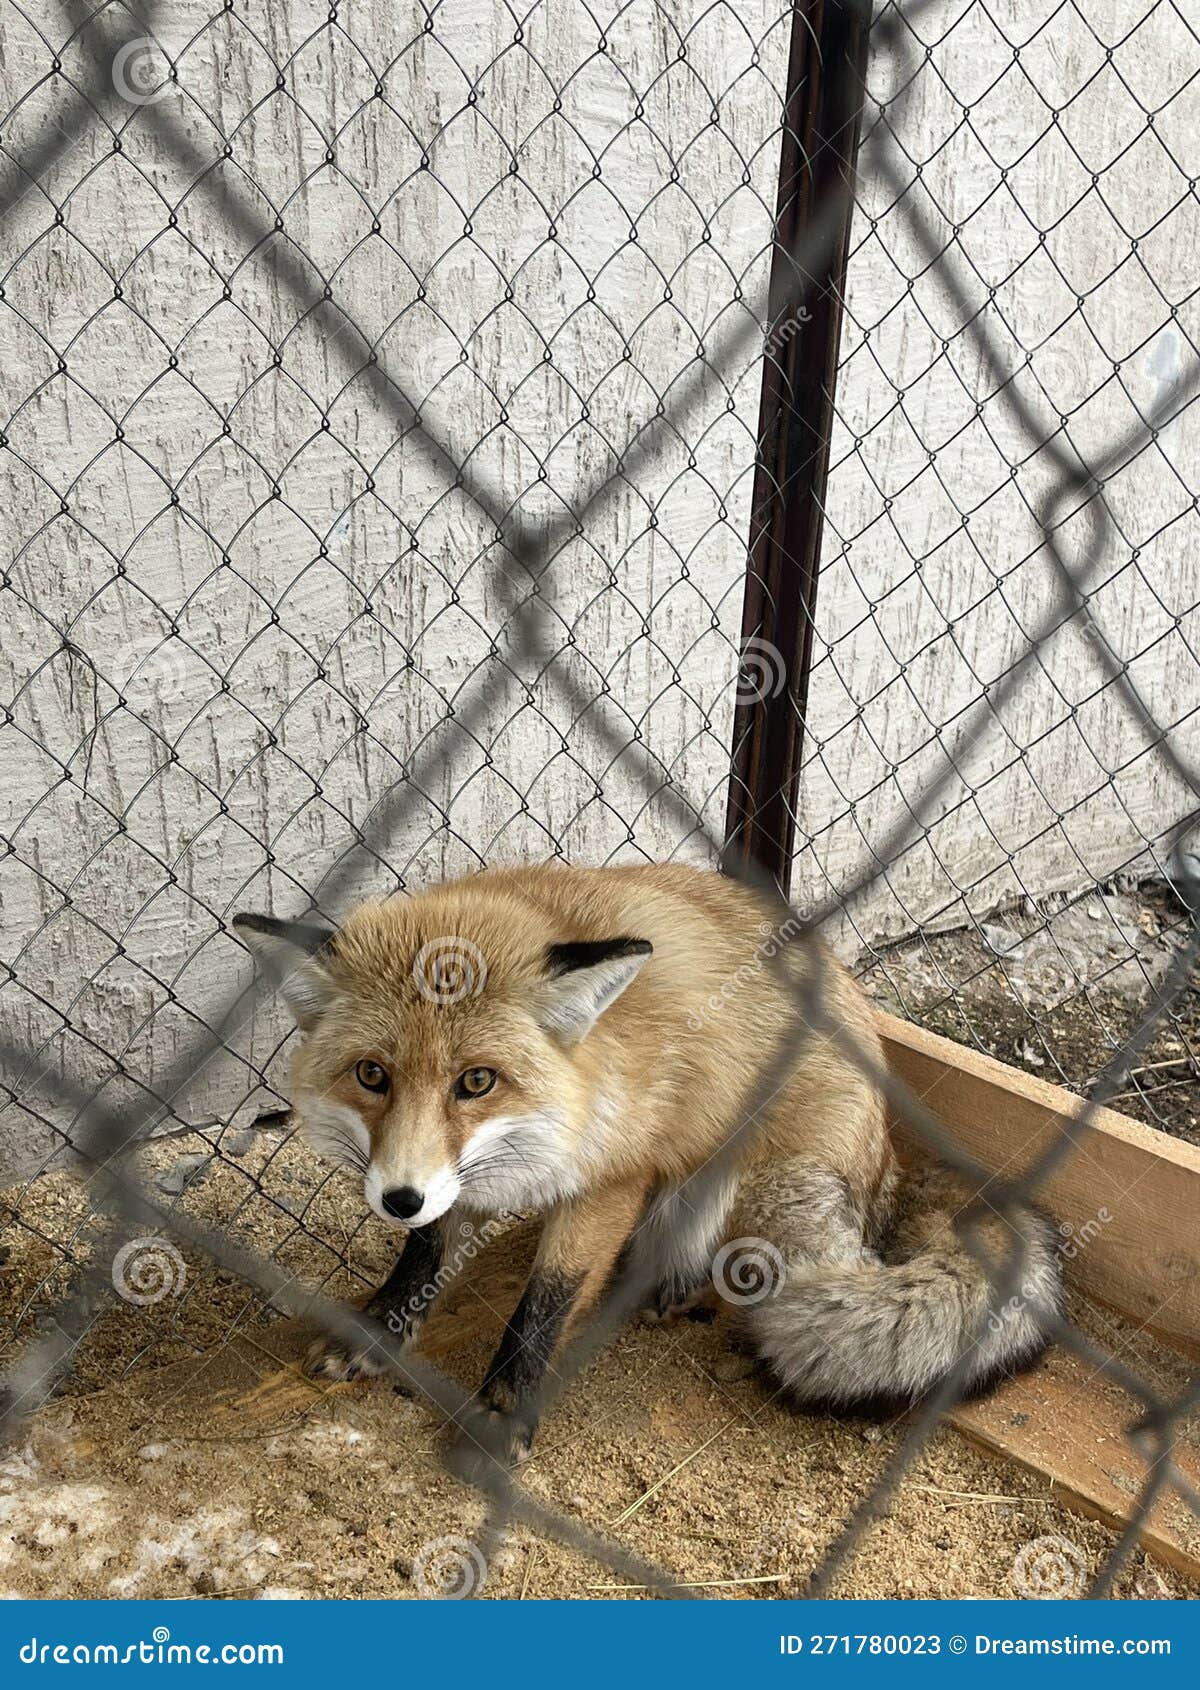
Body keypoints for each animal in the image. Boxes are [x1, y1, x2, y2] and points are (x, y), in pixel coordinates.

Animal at [233, 862, 1061, 1458]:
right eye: (373, 1075)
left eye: (476, 1082)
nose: (397, 1200)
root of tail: (887, 1148)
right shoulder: (447, 1181)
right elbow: (422, 1258)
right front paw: (378, 1332)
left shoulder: (610, 1176)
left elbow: (546, 1304)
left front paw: (505, 1411)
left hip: (775, 1199)